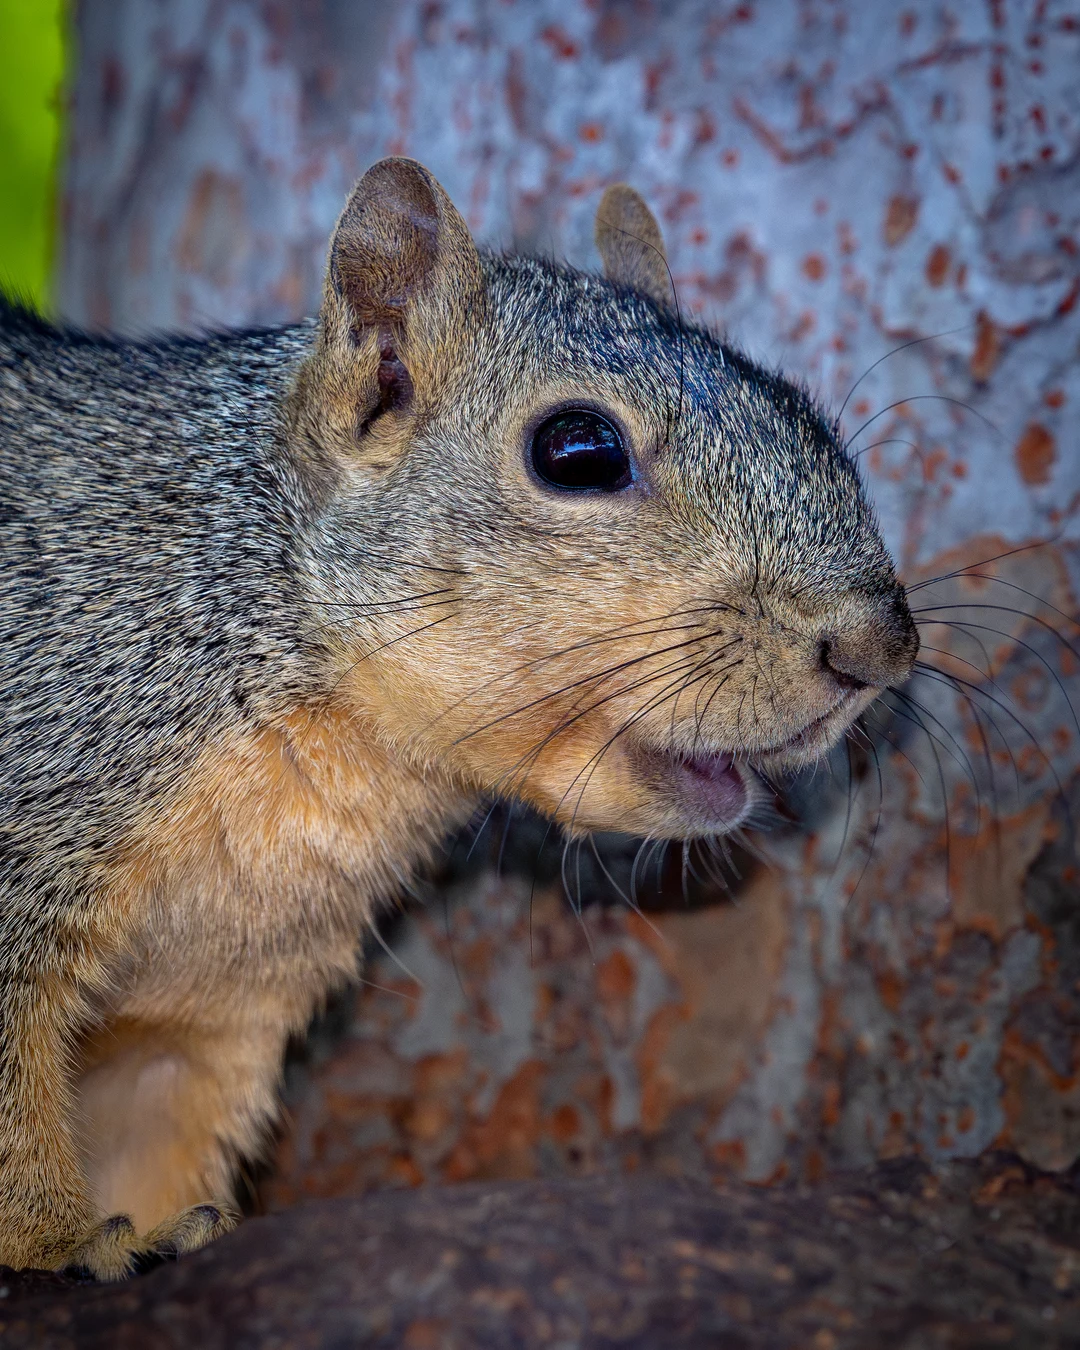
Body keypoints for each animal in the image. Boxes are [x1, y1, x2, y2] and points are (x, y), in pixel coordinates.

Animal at [0, 158, 917, 1278]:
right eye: (578, 450)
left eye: (802, 408)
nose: (879, 646)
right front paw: (60, 1244)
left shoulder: (209, 1005)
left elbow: (160, 1121)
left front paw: (163, 1226)